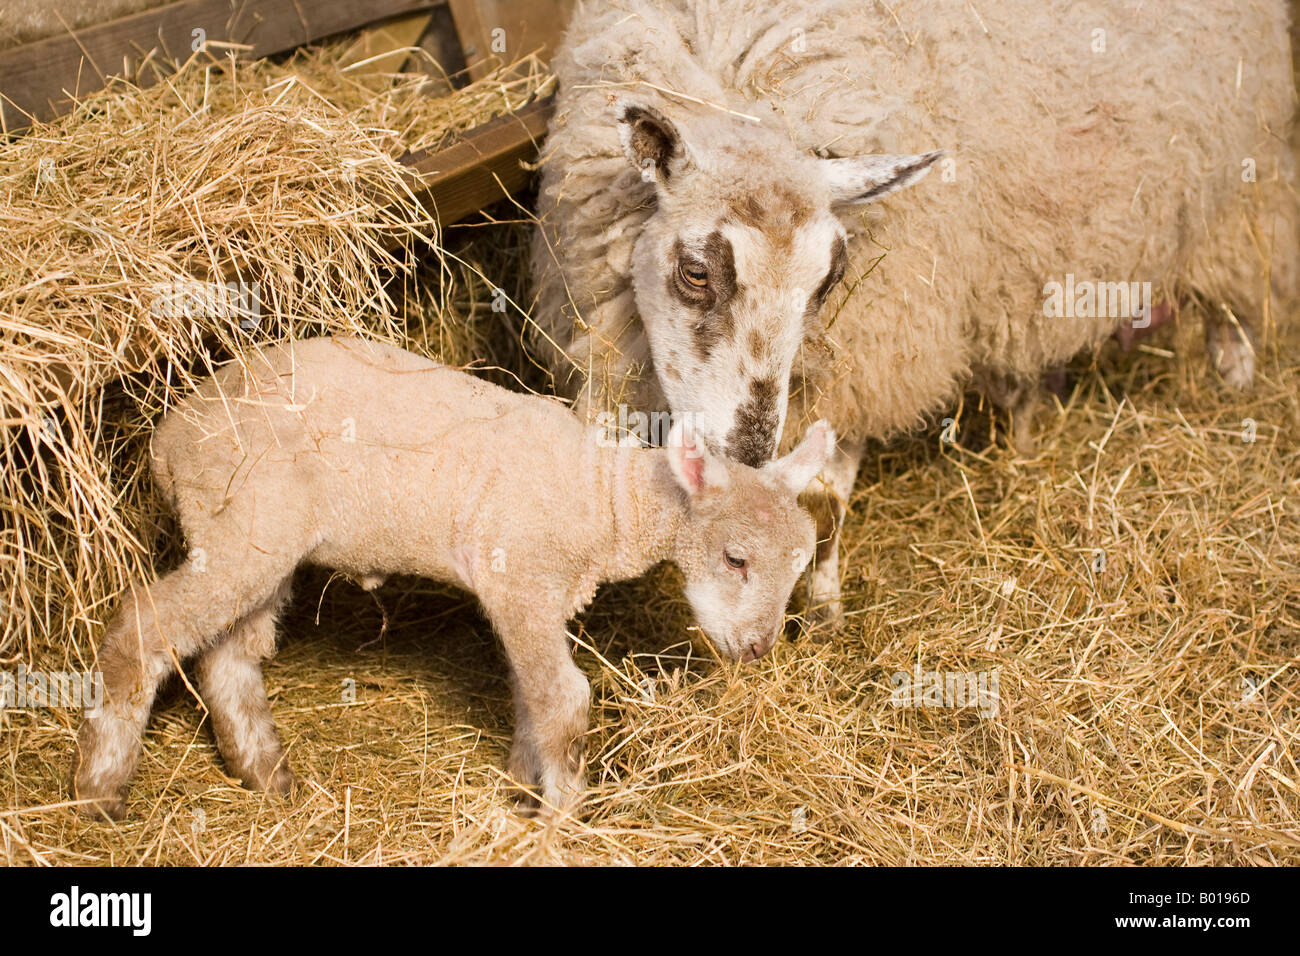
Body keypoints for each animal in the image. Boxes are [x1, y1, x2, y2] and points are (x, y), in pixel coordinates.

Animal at [72, 336, 836, 819]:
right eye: (735, 558)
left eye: (802, 563)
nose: (758, 649)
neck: (606, 500)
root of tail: (168, 439)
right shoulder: (523, 580)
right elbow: (564, 699)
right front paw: (563, 815)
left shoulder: (534, 599)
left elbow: (531, 699)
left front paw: (525, 787)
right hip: (237, 524)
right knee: (141, 630)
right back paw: (100, 790)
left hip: (259, 541)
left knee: (228, 659)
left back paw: (265, 775)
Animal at [530, 0, 1299, 622]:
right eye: (695, 273)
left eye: (829, 282)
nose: (748, 452)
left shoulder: (869, 354)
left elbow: (826, 500)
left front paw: (824, 611)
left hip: (1240, 193)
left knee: (1235, 305)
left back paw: (1236, 384)